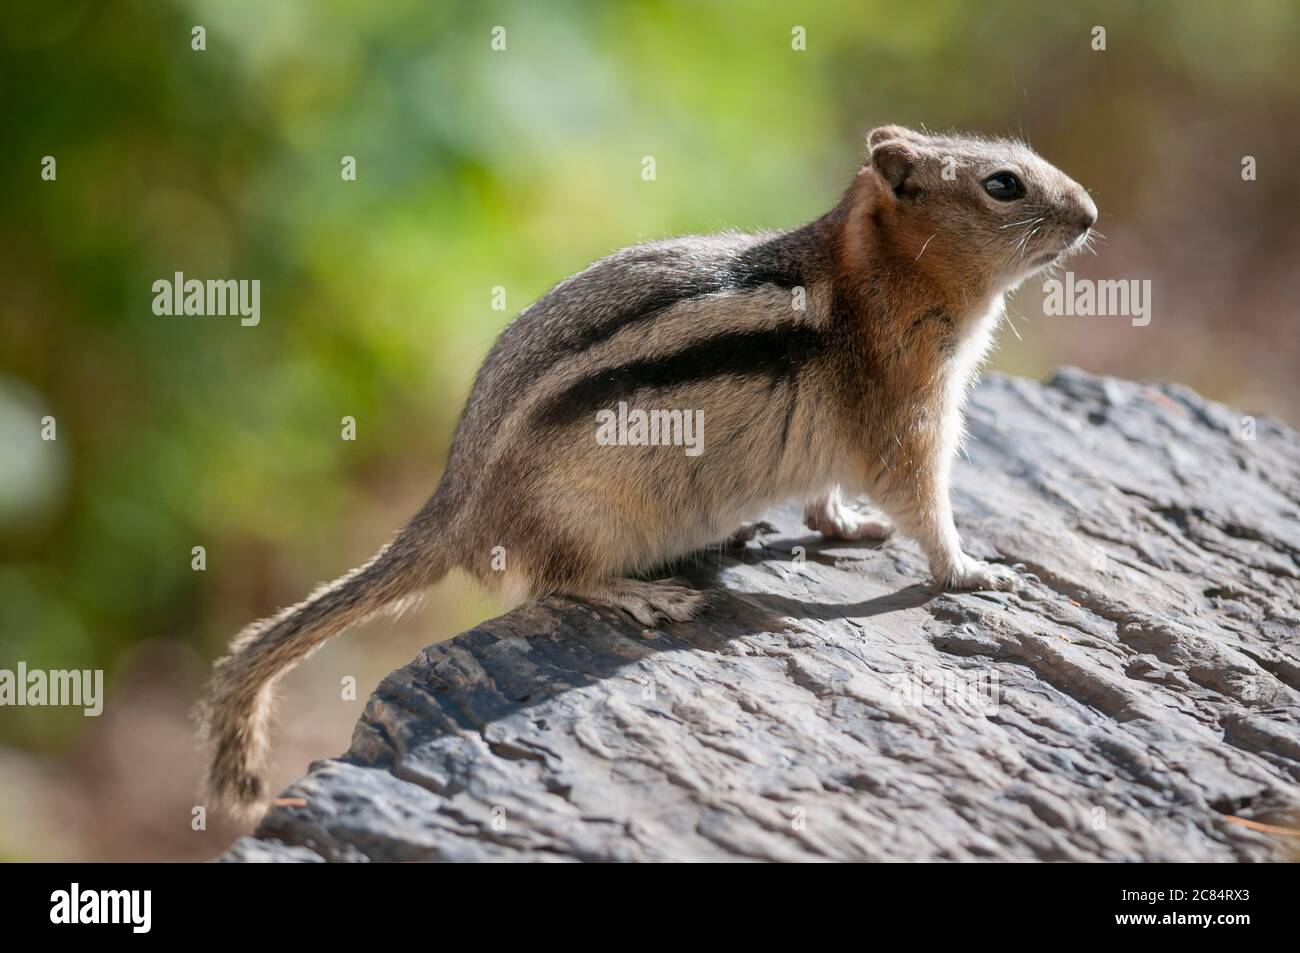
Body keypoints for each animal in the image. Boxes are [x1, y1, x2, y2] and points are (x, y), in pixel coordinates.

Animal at [197, 125, 1097, 817]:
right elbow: (926, 507)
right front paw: (975, 571)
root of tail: (455, 506)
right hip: (589, 514)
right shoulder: (908, 418)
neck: (878, 269)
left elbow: (828, 495)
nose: (1090, 213)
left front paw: (847, 525)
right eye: (1004, 184)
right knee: (558, 580)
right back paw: (645, 593)